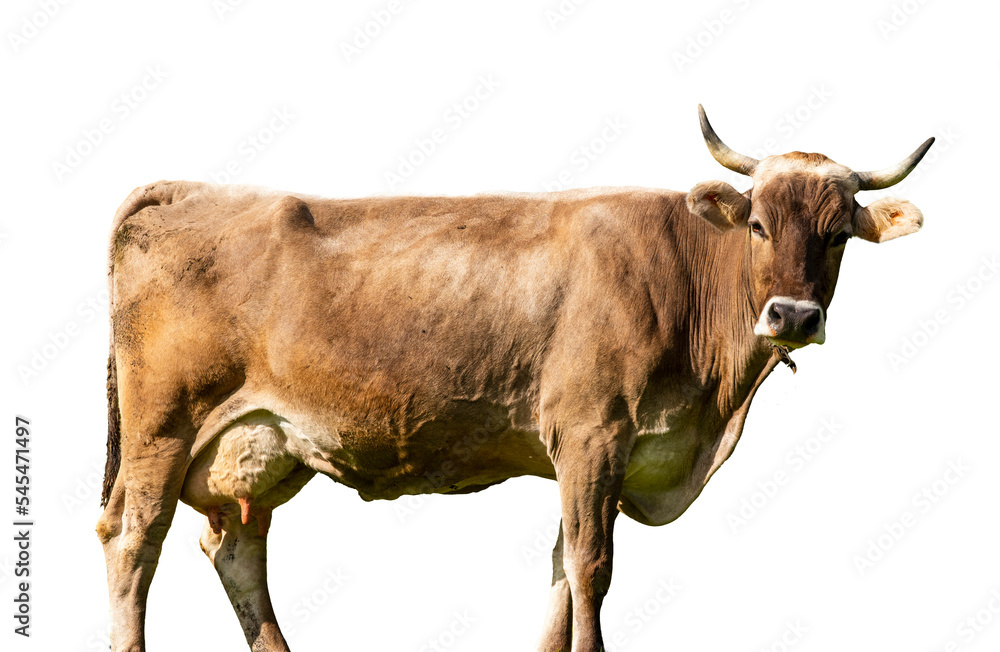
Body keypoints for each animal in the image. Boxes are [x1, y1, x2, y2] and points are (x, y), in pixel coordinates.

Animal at [96, 106, 932, 651]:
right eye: (758, 224)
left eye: (838, 234)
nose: (792, 315)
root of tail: (192, 189)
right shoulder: (593, 432)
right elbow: (591, 568)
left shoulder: (593, 453)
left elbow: (562, 570)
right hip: (162, 428)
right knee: (133, 541)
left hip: (258, 448)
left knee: (236, 550)